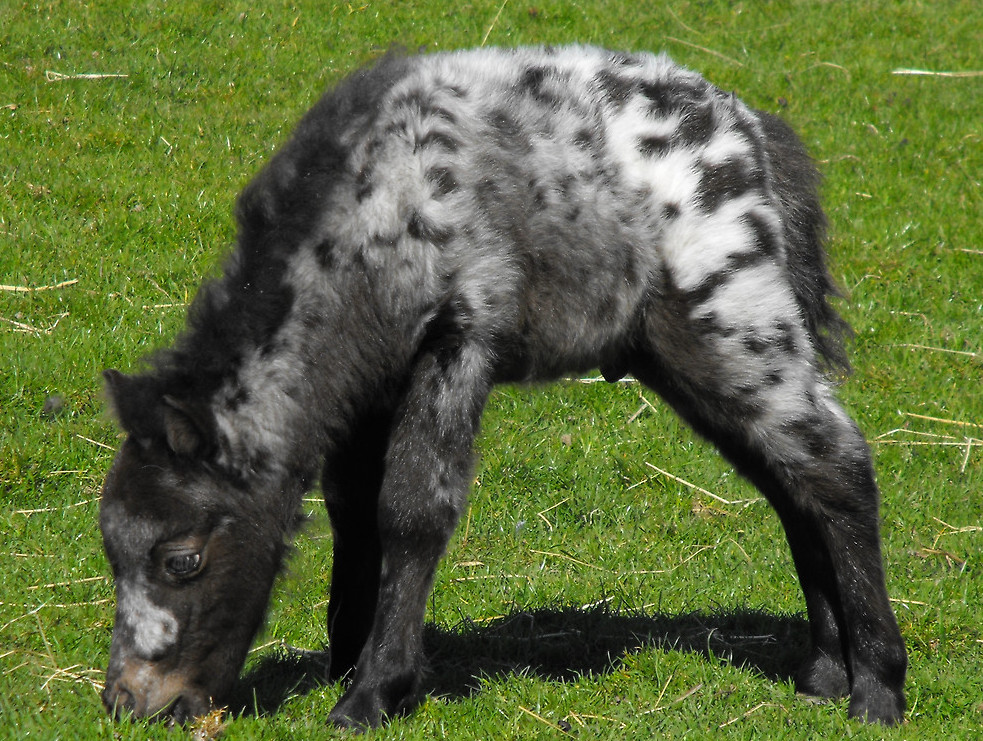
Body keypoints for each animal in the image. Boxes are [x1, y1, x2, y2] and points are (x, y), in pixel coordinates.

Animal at [98, 46, 908, 728]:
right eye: (112, 548)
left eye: (181, 560)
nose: (130, 704)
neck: (380, 205)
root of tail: (753, 133)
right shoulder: (370, 382)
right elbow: (354, 512)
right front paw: (350, 662)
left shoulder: (460, 340)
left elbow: (412, 510)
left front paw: (374, 691)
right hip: (684, 360)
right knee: (792, 483)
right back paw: (824, 671)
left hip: (735, 327)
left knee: (835, 466)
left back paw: (876, 687)